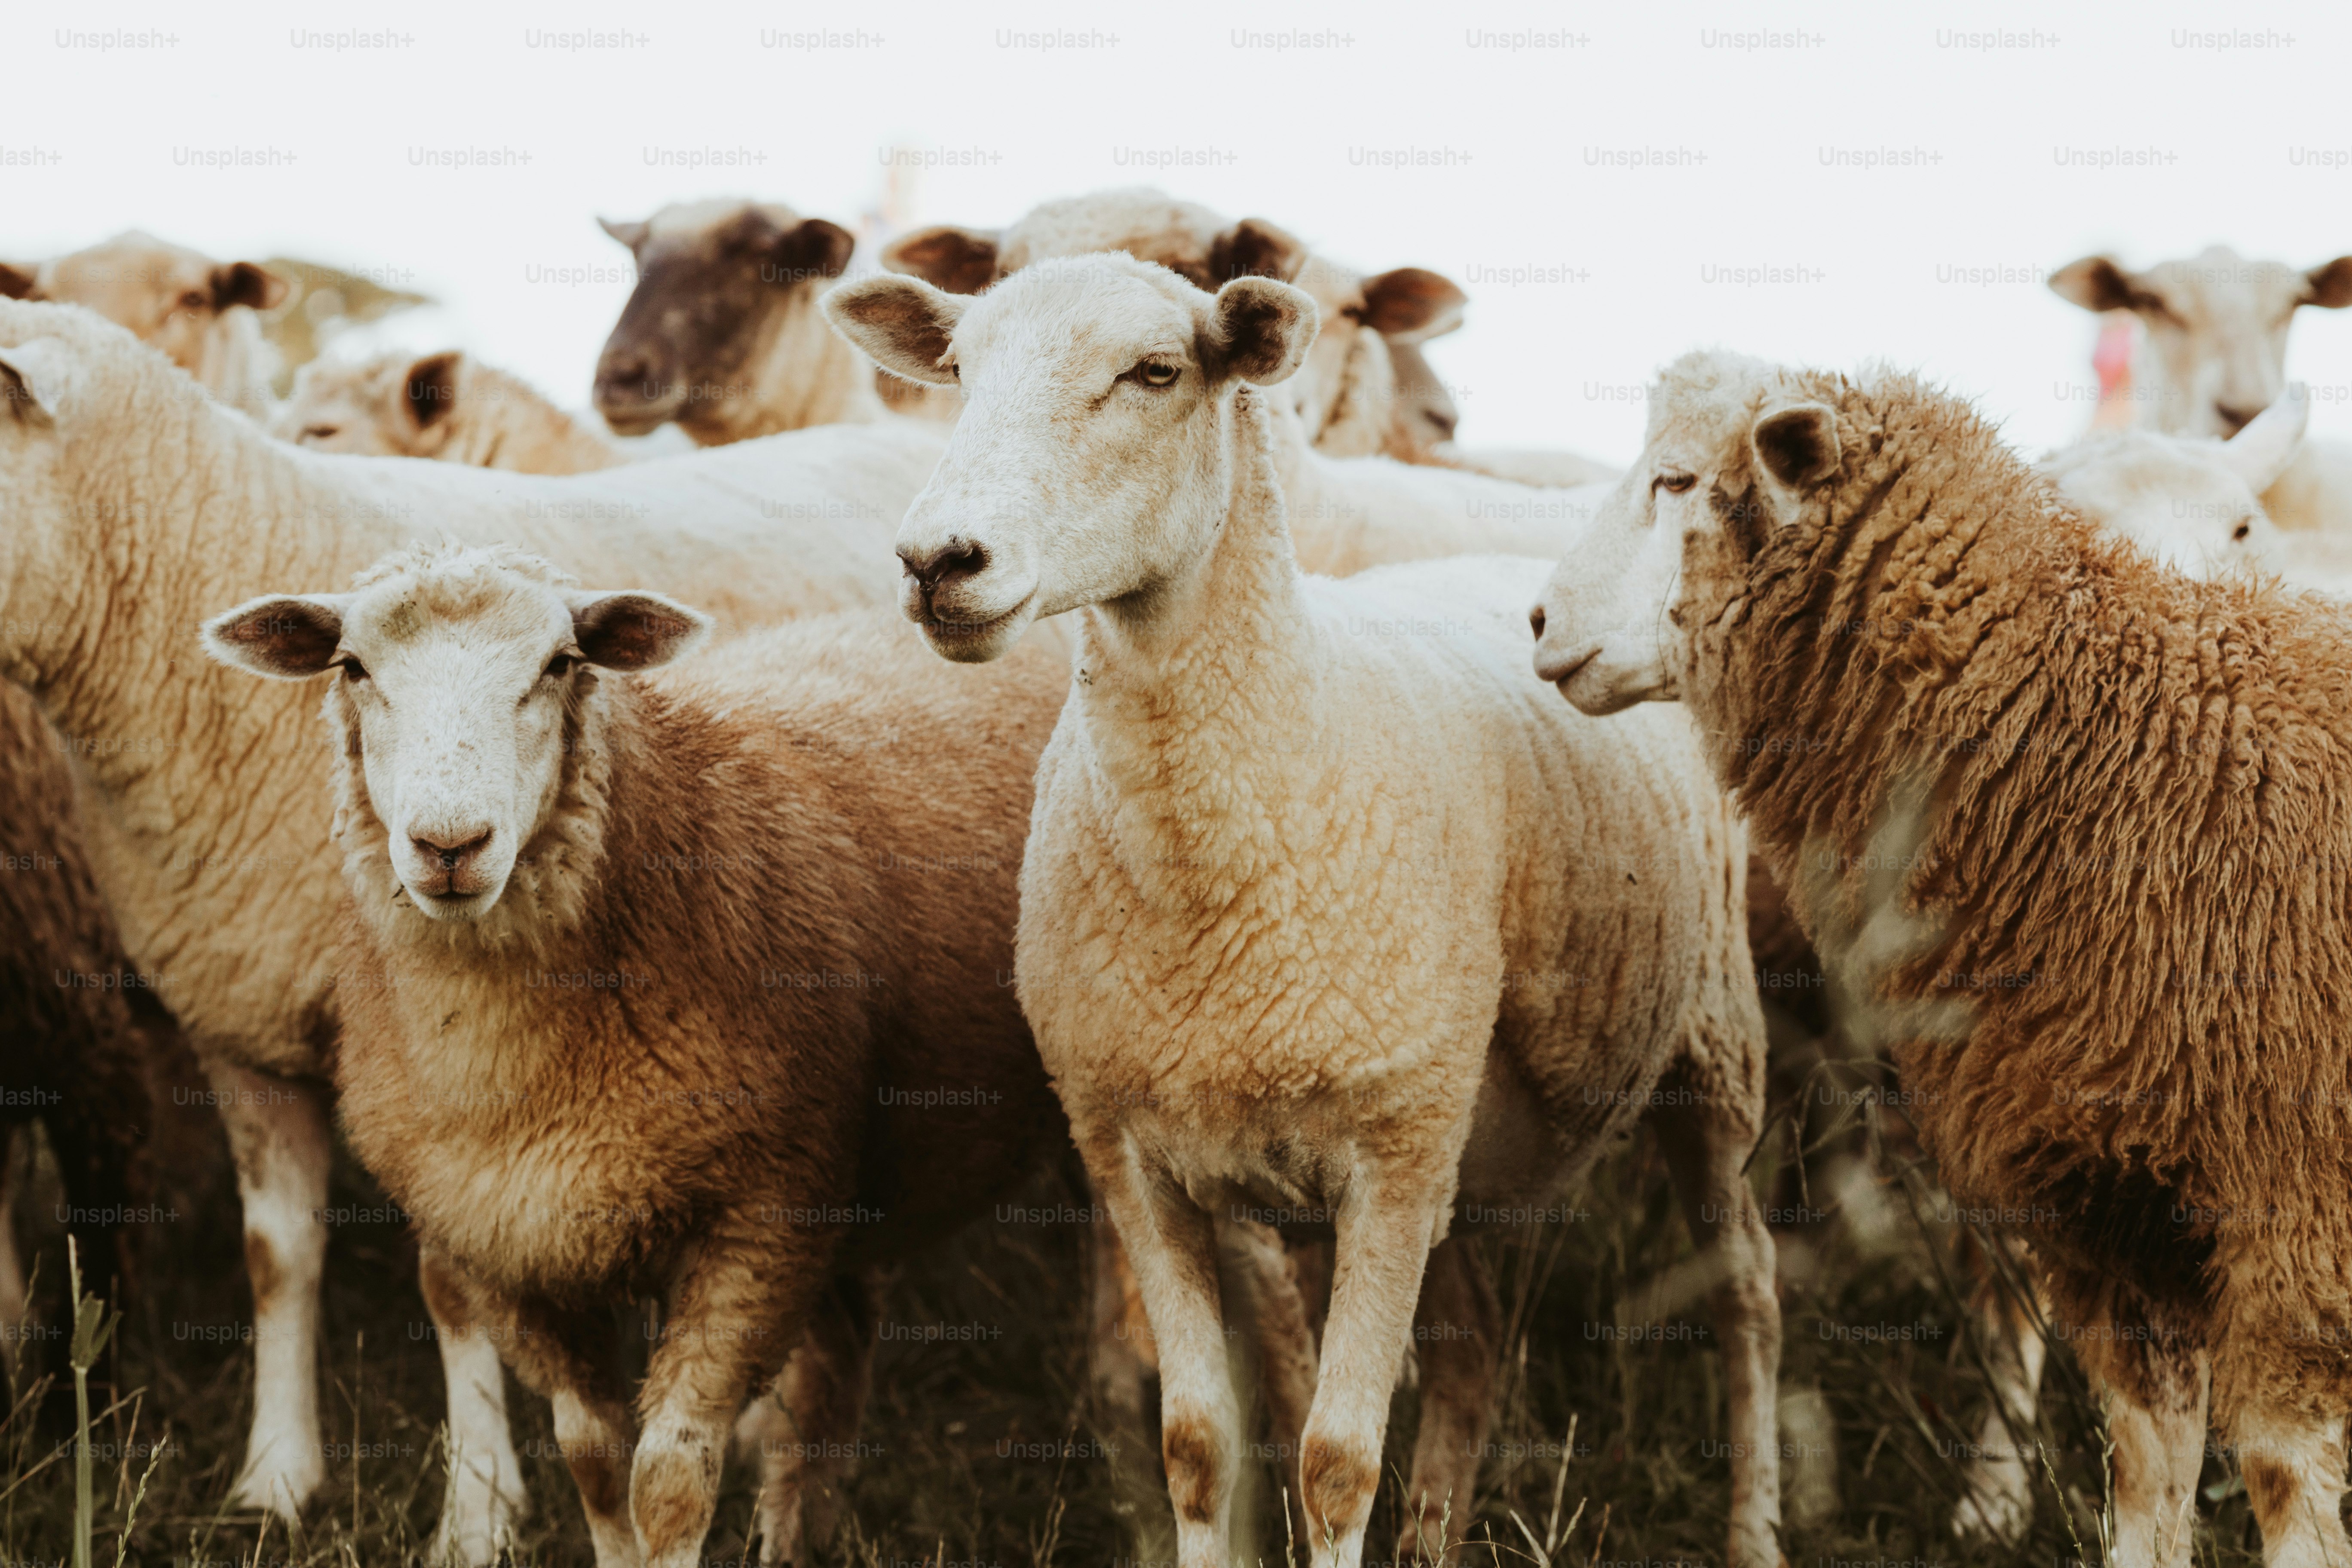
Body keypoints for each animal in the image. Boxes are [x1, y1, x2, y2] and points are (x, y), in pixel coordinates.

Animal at [203, 545, 1070, 1567]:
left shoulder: (758, 1221)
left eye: (559, 664)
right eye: (353, 668)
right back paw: (797, 1532)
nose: (450, 845)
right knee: (841, 1348)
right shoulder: (515, 1248)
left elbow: (668, 1478)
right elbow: (594, 1463)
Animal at [825, 252, 1782, 1568]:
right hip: (1468, 1132)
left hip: (1706, 1043)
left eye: (1155, 372)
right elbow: (1197, 1445)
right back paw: (1433, 1539)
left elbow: (1333, 1461)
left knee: (1747, 1291)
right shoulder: (1140, 1157)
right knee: (1476, 1352)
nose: (937, 562)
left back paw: (1755, 1528)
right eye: (960, 372)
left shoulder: (1389, 1157)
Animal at [1532, 348, 2352, 1568]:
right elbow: (2146, 1476)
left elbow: (2287, 1487)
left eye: (1676, 481)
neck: (2119, 754)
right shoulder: (2109, 1215)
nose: (1539, 617)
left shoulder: (2291, 1223)